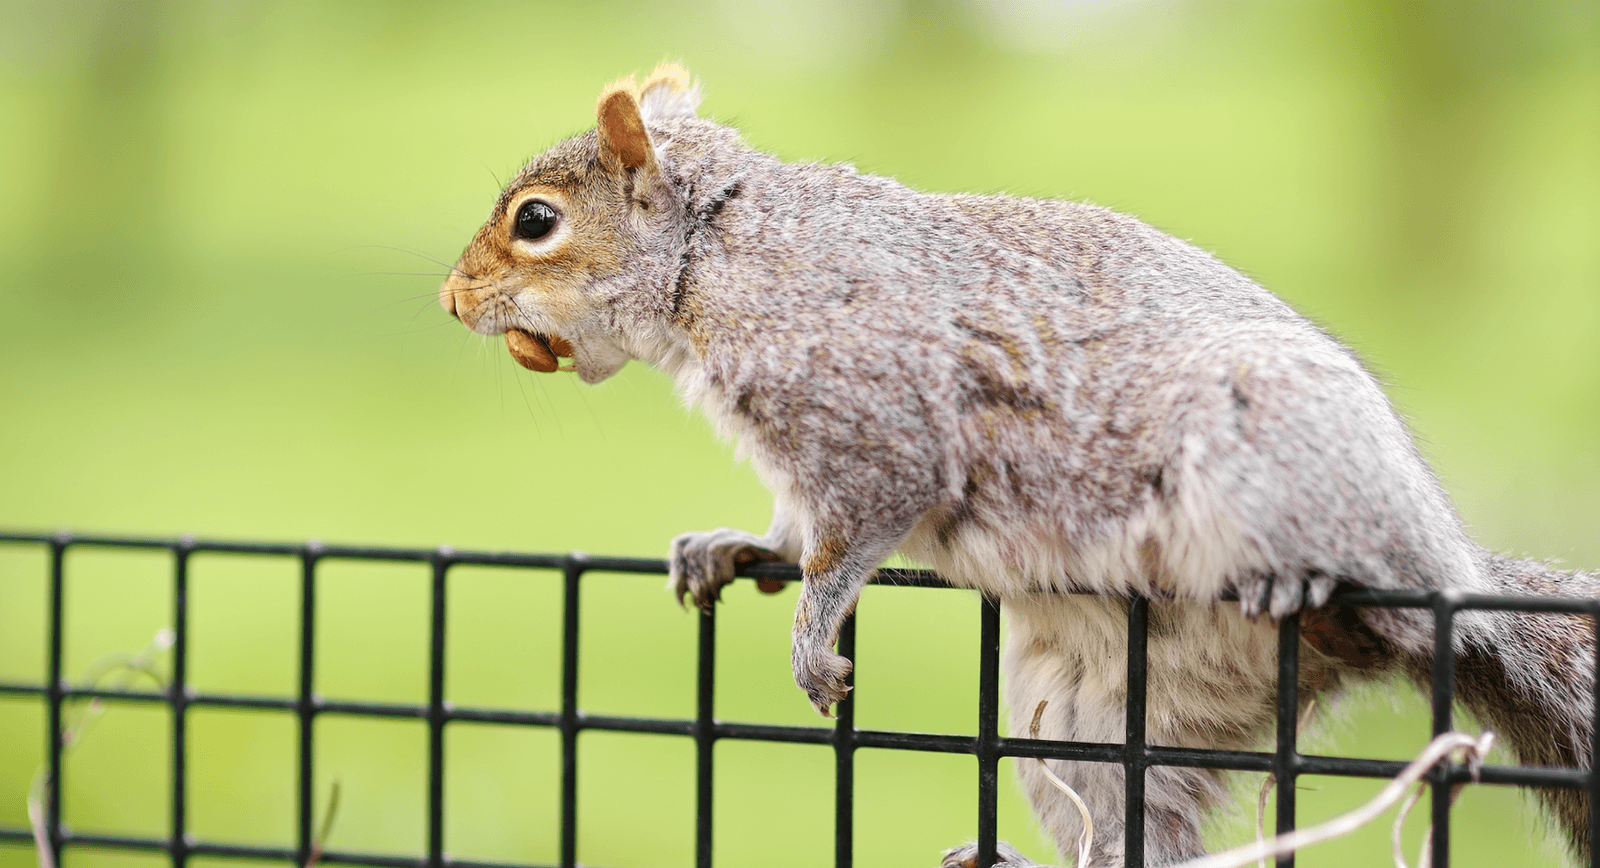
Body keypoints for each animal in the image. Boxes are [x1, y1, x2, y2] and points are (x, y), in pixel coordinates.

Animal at [439, 63, 1597, 866]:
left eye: (537, 222)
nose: (451, 300)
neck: (720, 256)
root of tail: (1458, 570)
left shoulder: (879, 422)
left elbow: (848, 540)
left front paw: (811, 639)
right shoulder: (802, 459)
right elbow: (790, 527)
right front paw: (730, 548)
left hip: (1271, 454)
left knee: (1394, 612)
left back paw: (1318, 590)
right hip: (1090, 721)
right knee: (1136, 834)